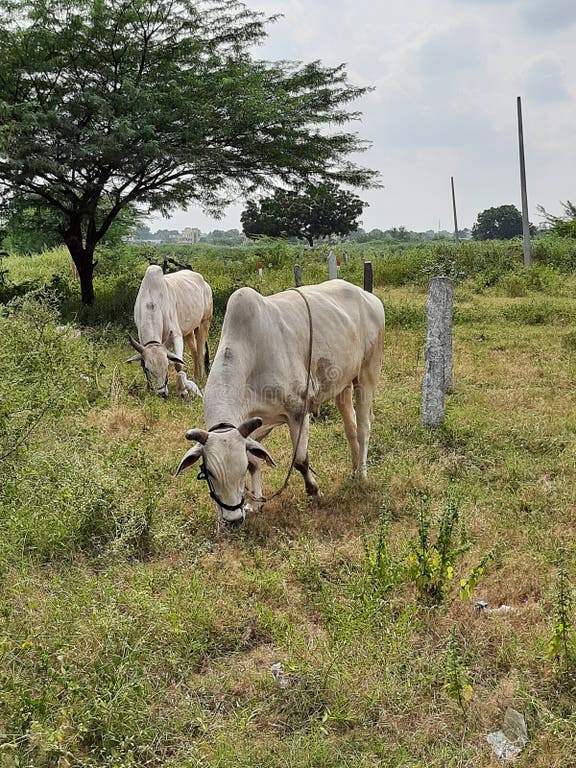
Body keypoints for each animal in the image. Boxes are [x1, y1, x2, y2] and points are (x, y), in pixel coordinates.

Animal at [127, 265, 213, 399]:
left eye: (166, 366)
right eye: (147, 369)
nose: (161, 393)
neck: (152, 303)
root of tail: (204, 283)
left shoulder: (176, 335)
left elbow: (178, 364)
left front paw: (183, 392)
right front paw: (148, 389)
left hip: (205, 322)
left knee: (200, 352)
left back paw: (200, 379)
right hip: (188, 332)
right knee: (194, 352)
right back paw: (196, 378)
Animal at [176, 279, 385, 525]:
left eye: (240, 471)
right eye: (209, 473)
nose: (233, 519)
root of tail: (368, 297)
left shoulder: (297, 412)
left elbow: (301, 460)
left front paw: (314, 491)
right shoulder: (254, 424)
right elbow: (256, 461)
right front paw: (255, 504)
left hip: (367, 373)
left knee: (363, 427)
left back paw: (361, 474)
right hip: (342, 385)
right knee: (350, 426)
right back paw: (353, 471)